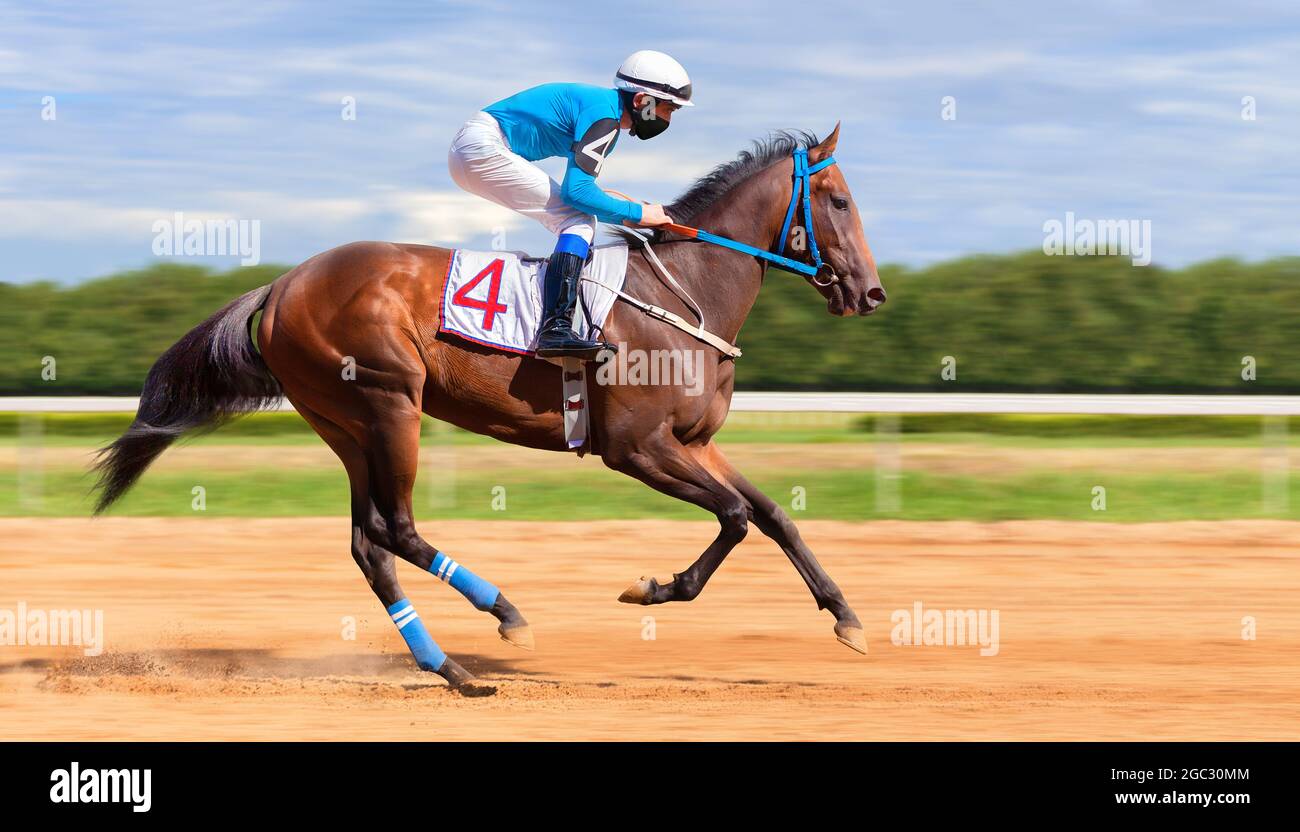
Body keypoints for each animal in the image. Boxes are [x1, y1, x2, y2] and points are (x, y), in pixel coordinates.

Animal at [92, 124, 886, 691]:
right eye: (840, 202)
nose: (872, 293)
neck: (685, 290)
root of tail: (283, 283)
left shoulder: (693, 442)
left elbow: (774, 514)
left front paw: (847, 617)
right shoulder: (634, 447)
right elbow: (736, 515)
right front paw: (654, 587)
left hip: (344, 423)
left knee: (368, 545)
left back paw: (451, 669)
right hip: (389, 403)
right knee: (397, 528)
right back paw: (504, 614)